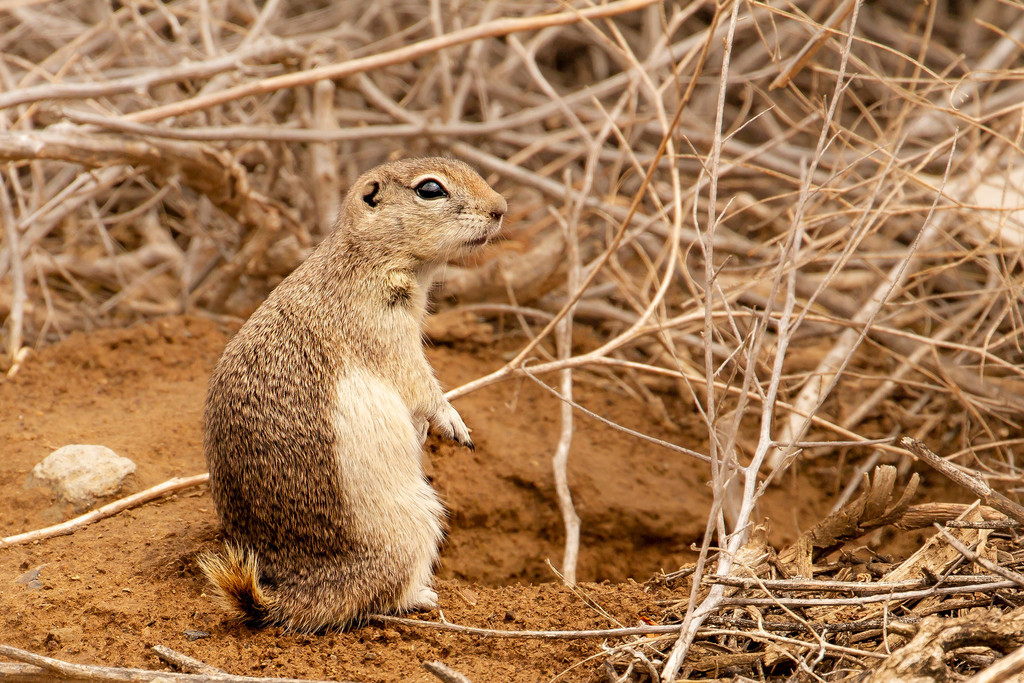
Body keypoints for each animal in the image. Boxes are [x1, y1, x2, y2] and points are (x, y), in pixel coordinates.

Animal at [199, 157, 506, 632]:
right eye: (430, 189)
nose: (501, 208)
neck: (363, 258)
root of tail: (295, 597)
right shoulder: (389, 337)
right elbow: (421, 384)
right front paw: (452, 423)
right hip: (416, 521)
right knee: (379, 598)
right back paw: (422, 596)